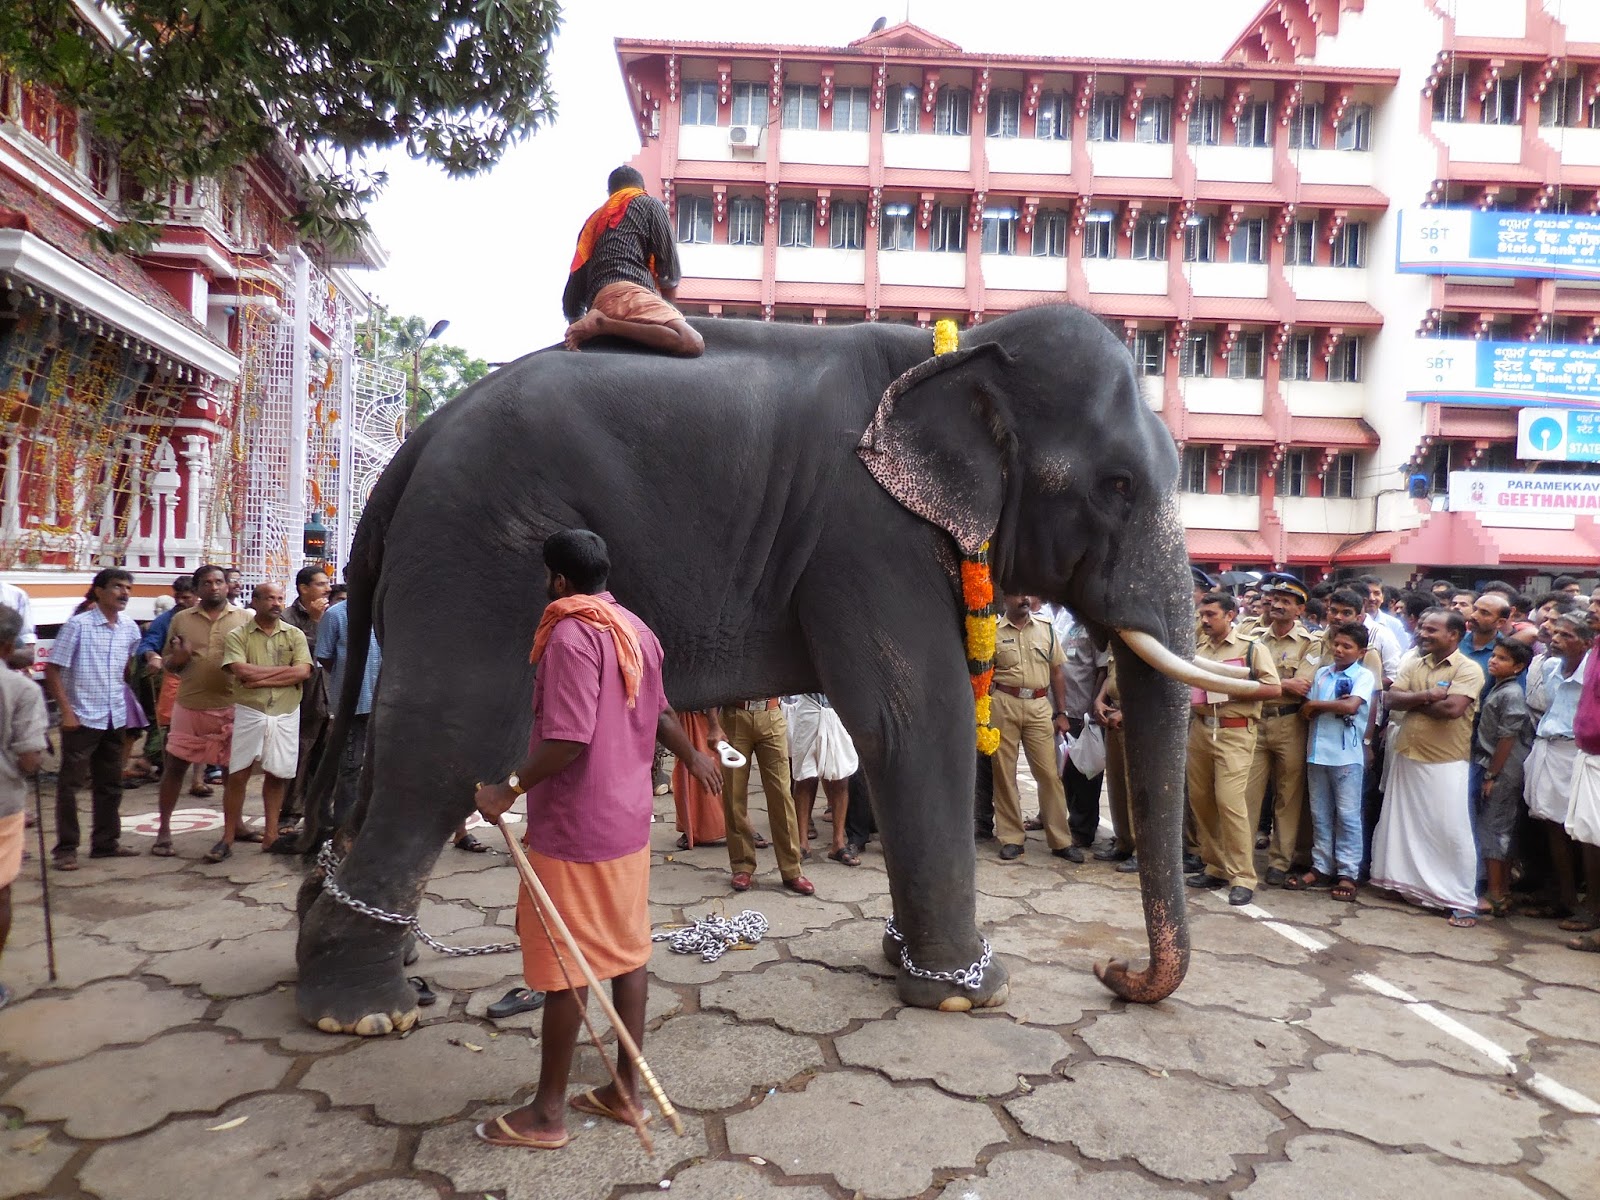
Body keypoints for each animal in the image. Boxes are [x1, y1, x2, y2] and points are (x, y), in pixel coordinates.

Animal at [295, 303, 1268, 1036]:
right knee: (449, 747)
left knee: (398, 754)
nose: (1114, 971)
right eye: (1116, 486)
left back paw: (360, 957)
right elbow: (914, 717)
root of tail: (413, 448)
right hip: (481, 553)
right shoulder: (866, 533)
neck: (954, 353)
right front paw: (969, 993)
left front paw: (906, 961)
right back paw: (365, 1012)